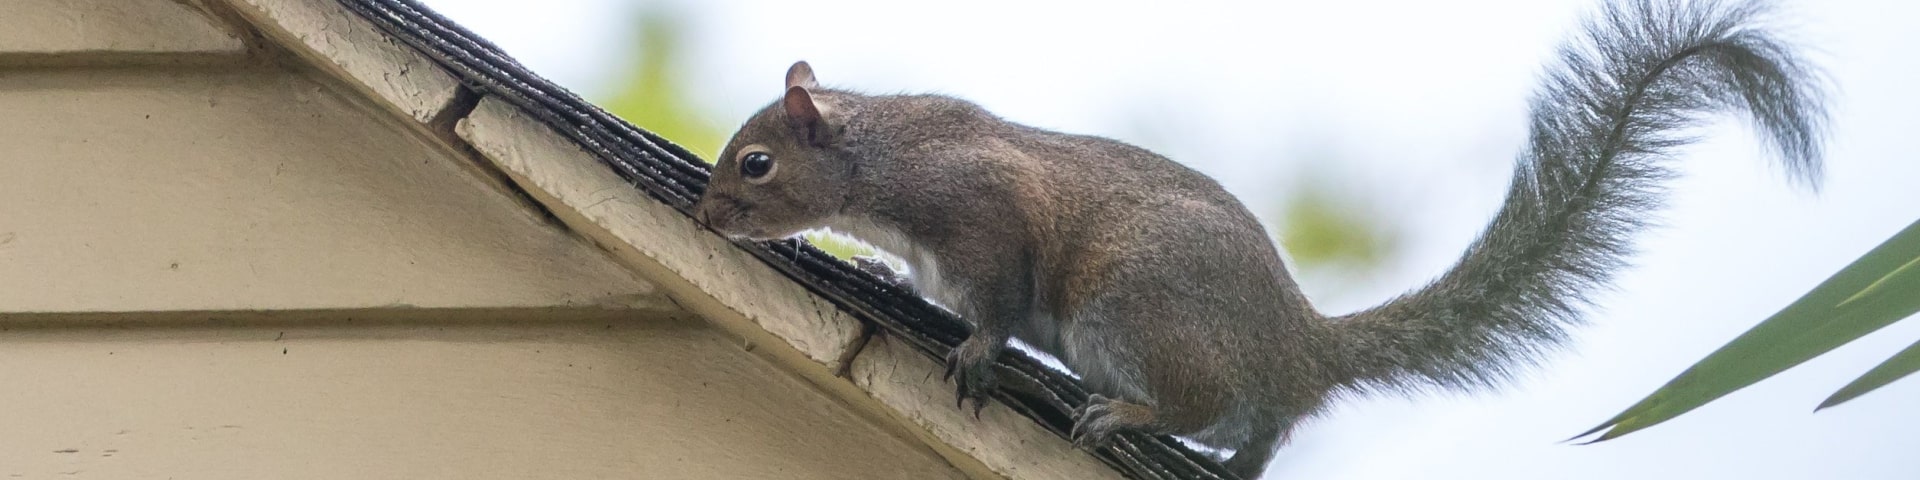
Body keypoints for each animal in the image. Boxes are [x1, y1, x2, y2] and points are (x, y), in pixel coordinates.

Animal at [692, 0, 1825, 477]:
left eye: (755, 165)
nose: (705, 218)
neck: (879, 163)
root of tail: (1299, 345)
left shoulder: (986, 214)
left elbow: (1000, 305)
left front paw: (973, 351)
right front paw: (870, 264)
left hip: (1129, 307)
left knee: (1199, 402)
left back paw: (1128, 413)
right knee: (1265, 434)